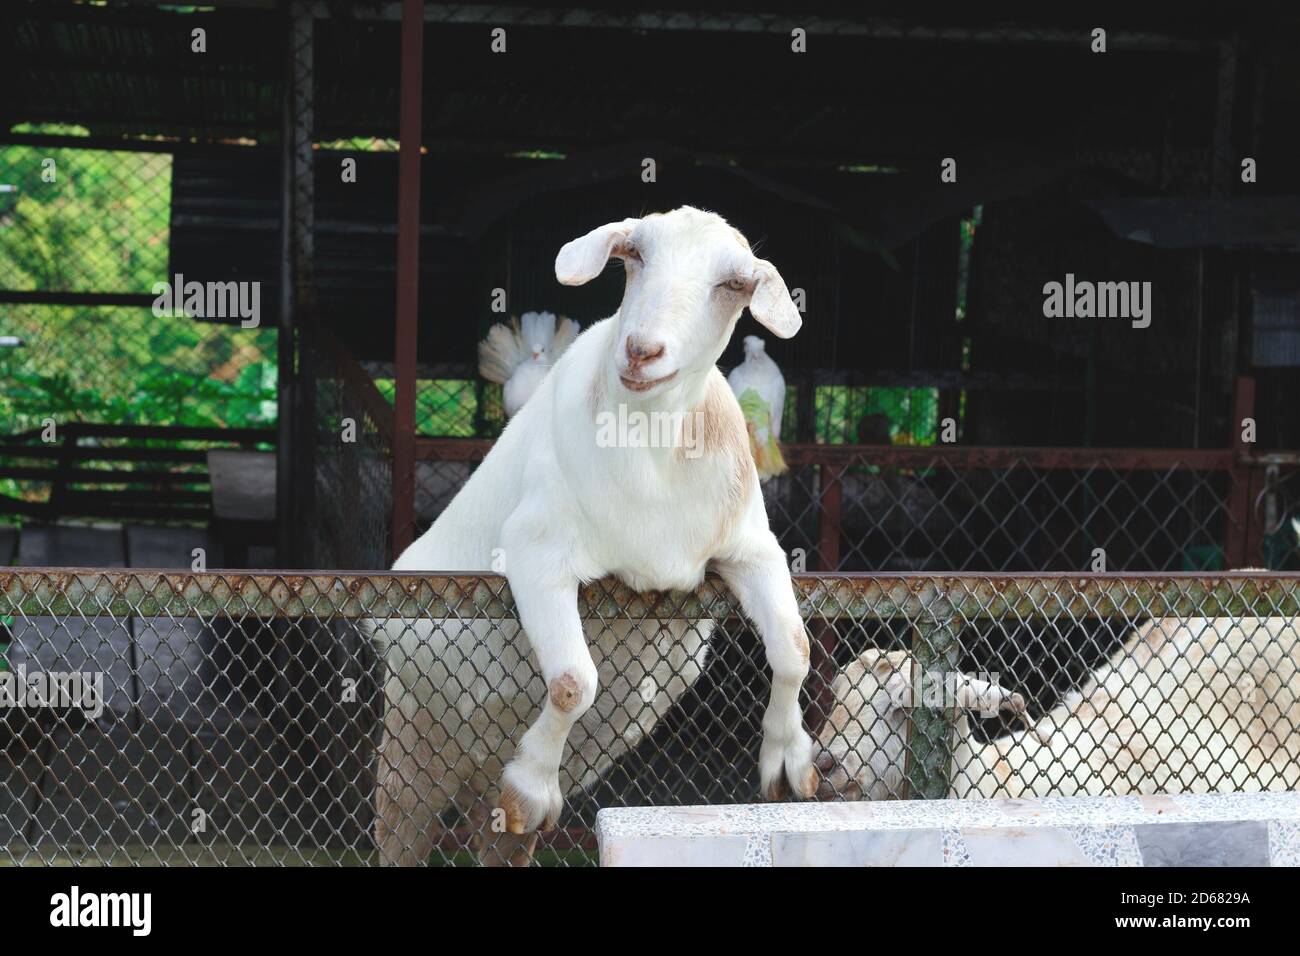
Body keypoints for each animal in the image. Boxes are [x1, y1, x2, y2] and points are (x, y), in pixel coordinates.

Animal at [370, 207, 818, 865]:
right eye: (634, 256)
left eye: (733, 283)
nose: (641, 351)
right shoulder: (537, 550)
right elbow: (572, 681)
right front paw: (532, 783)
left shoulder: (748, 546)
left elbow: (793, 649)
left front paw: (789, 762)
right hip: (414, 737)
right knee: (402, 828)